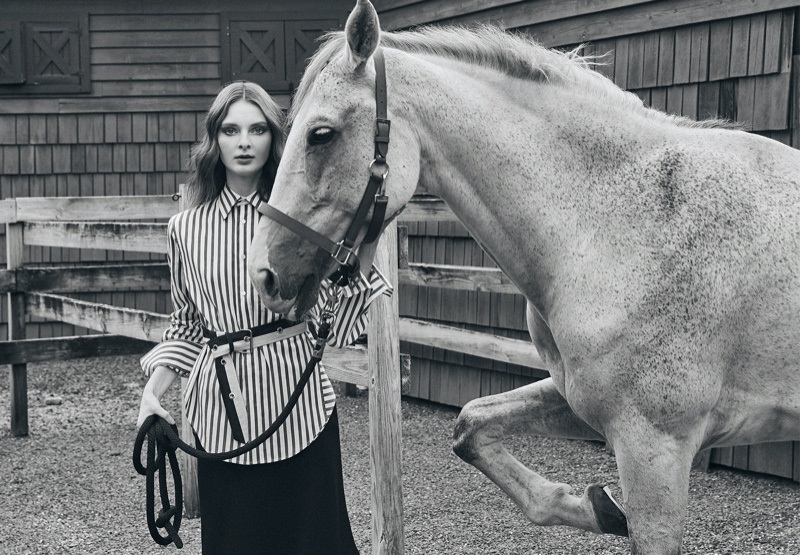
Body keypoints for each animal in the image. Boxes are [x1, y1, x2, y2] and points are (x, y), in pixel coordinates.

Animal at [247, 1, 800, 553]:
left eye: (321, 134)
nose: (263, 275)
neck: (619, 224)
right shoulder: (581, 402)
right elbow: (470, 425)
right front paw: (595, 507)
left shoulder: (655, 446)